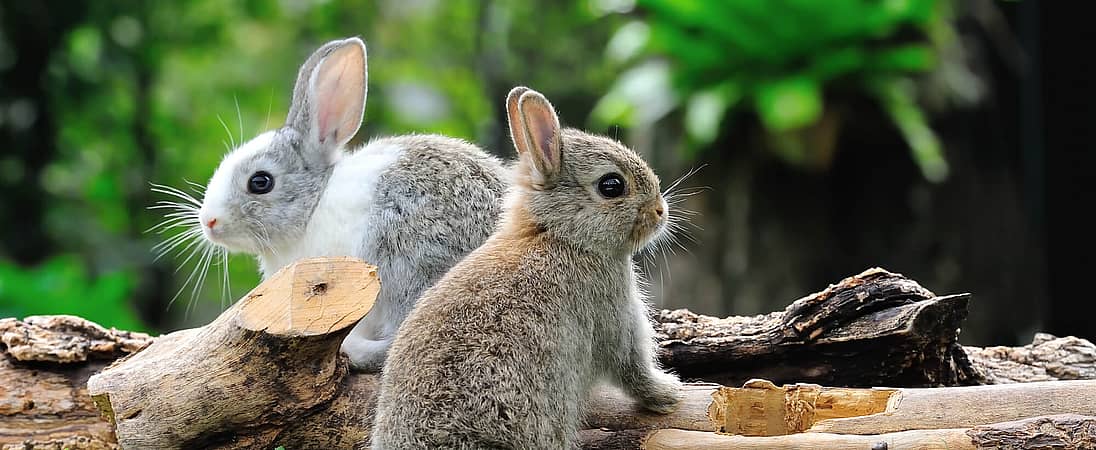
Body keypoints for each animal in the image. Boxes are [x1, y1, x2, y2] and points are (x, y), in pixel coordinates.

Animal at [370, 87, 684, 449]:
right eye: (612, 185)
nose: (660, 210)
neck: (558, 235)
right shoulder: (614, 314)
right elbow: (632, 367)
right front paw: (669, 394)